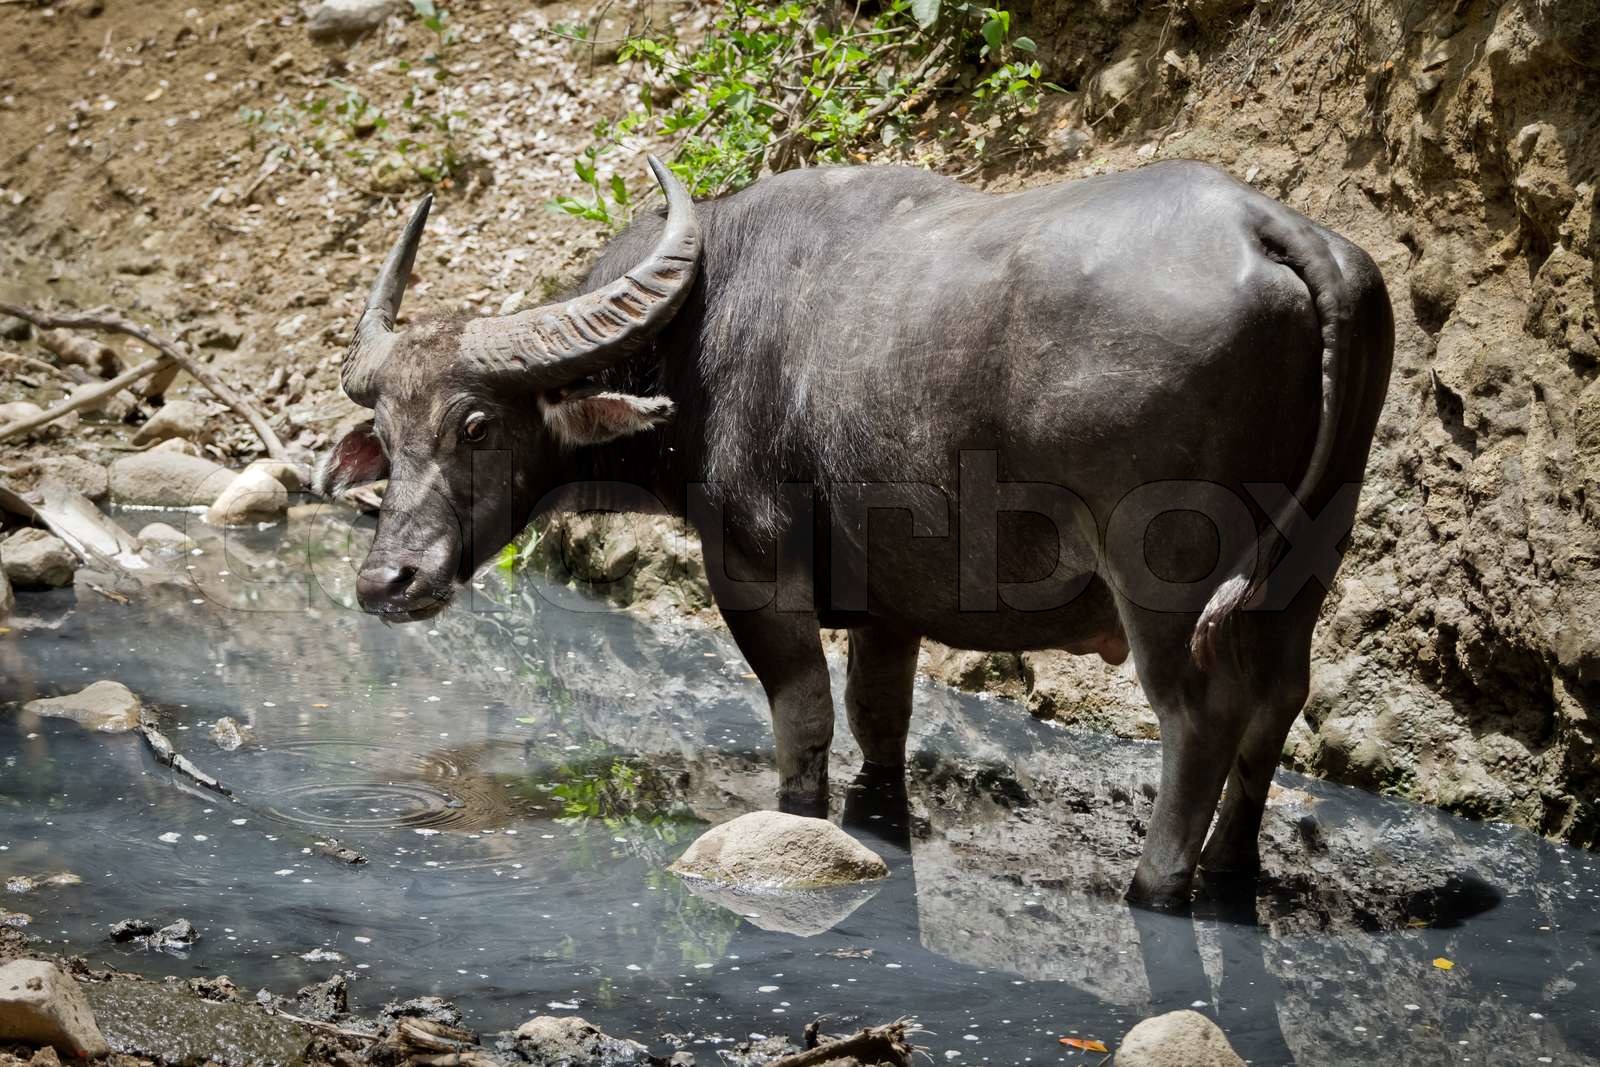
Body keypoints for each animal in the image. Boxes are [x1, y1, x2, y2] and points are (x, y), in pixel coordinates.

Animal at [318, 157, 1393, 910]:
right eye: (386, 434)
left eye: (475, 424)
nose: (386, 582)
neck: (704, 334)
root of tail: (1272, 226)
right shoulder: (893, 602)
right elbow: (882, 719)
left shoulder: (754, 577)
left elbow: (803, 722)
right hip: (1309, 557)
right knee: (1280, 696)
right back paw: (1230, 868)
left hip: (1165, 578)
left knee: (1200, 716)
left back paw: (1158, 881)